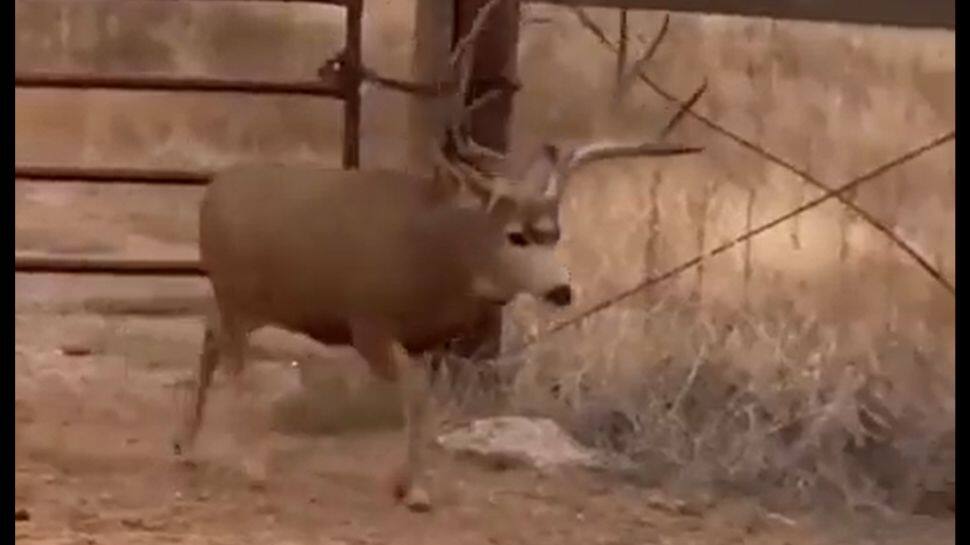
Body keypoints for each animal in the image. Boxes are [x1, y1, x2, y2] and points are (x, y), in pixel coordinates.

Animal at [171, 0, 702, 512]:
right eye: (515, 235)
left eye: (555, 234)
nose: (561, 290)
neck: (440, 257)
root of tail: (212, 192)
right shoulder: (367, 321)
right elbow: (412, 394)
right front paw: (411, 489)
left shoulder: (425, 341)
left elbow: (424, 401)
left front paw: (410, 484)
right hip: (237, 291)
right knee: (234, 358)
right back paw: (252, 465)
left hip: (252, 301)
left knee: (210, 335)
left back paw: (187, 448)